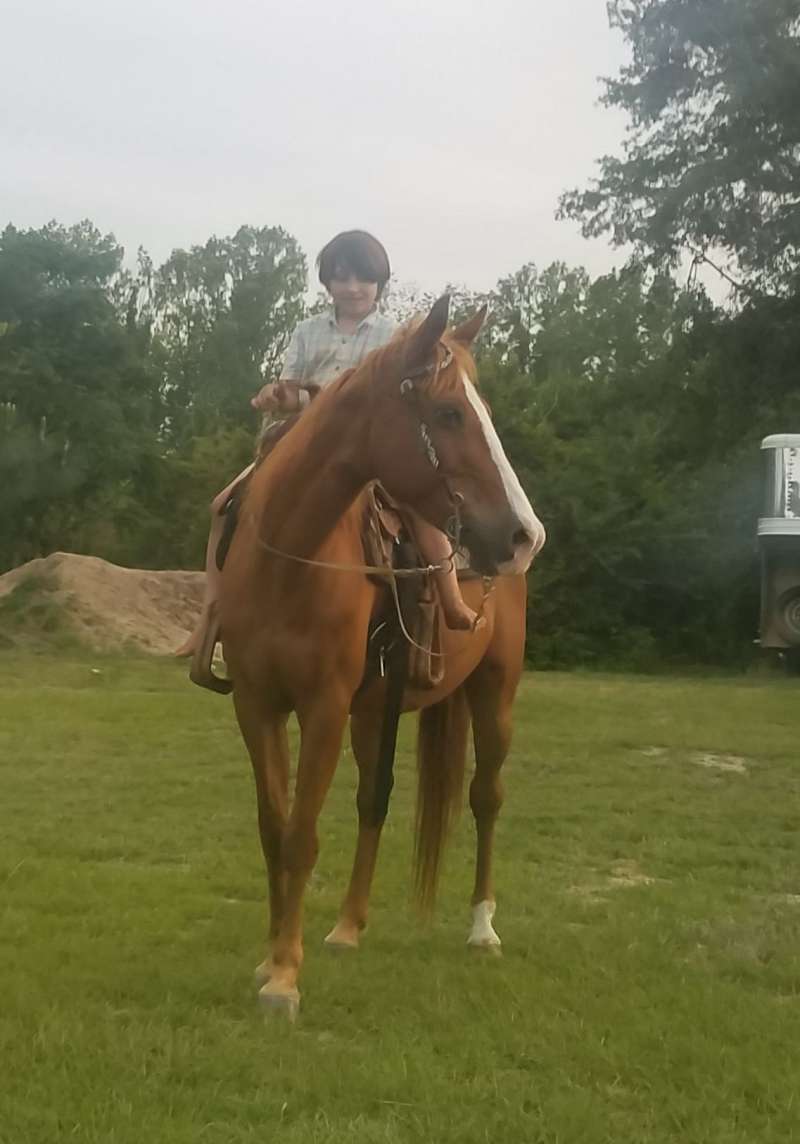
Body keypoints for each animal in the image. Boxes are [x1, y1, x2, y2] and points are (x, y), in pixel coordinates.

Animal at [219, 296, 546, 1019]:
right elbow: (273, 828)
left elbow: (303, 834)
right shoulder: (258, 705)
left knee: (486, 798)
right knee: (375, 799)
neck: (291, 557)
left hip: (495, 692)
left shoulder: (323, 707)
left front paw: (284, 977)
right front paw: (270, 957)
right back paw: (347, 926)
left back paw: (482, 928)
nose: (524, 536)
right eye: (449, 412)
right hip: (374, 711)